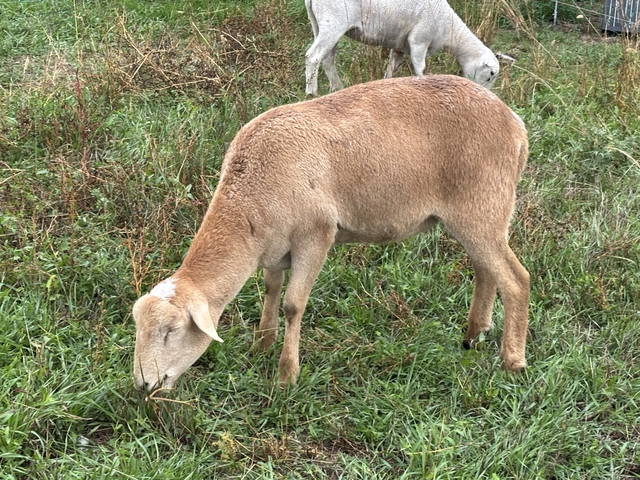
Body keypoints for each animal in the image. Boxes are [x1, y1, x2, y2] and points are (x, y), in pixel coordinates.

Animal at [132, 74, 529, 392]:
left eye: (170, 331)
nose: (143, 385)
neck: (249, 197)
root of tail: (515, 123)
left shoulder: (316, 235)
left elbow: (293, 305)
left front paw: (286, 376)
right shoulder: (274, 245)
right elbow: (271, 289)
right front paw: (261, 345)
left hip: (482, 205)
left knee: (516, 279)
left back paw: (512, 359)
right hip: (479, 215)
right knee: (485, 270)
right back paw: (474, 335)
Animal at [304, 0, 500, 96]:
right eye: (491, 74)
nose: (485, 94)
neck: (449, 30)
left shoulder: (401, 47)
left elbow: (392, 68)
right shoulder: (419, 40)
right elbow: (420, 69)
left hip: (319, 24)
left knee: (327, 58)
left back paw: (337, 87)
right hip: (333, 22)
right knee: (313, 57)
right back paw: (311, 92)